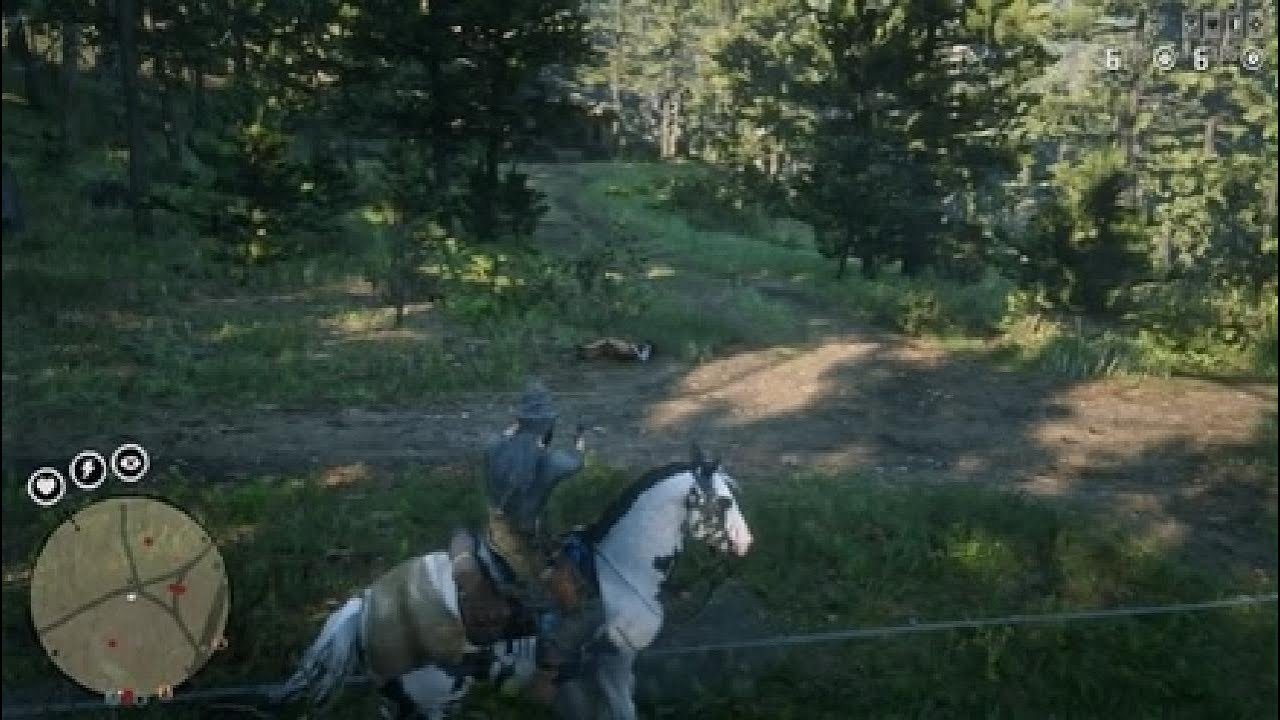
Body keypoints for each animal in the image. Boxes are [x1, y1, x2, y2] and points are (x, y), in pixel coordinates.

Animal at [274, 446, 754, 719]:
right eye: (724, 501)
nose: (745, 544)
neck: (621, 566)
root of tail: (368, 603)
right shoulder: (616, 661)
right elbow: (623, 711)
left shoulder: (578, 673)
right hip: (435, 698)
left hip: (401, 700)